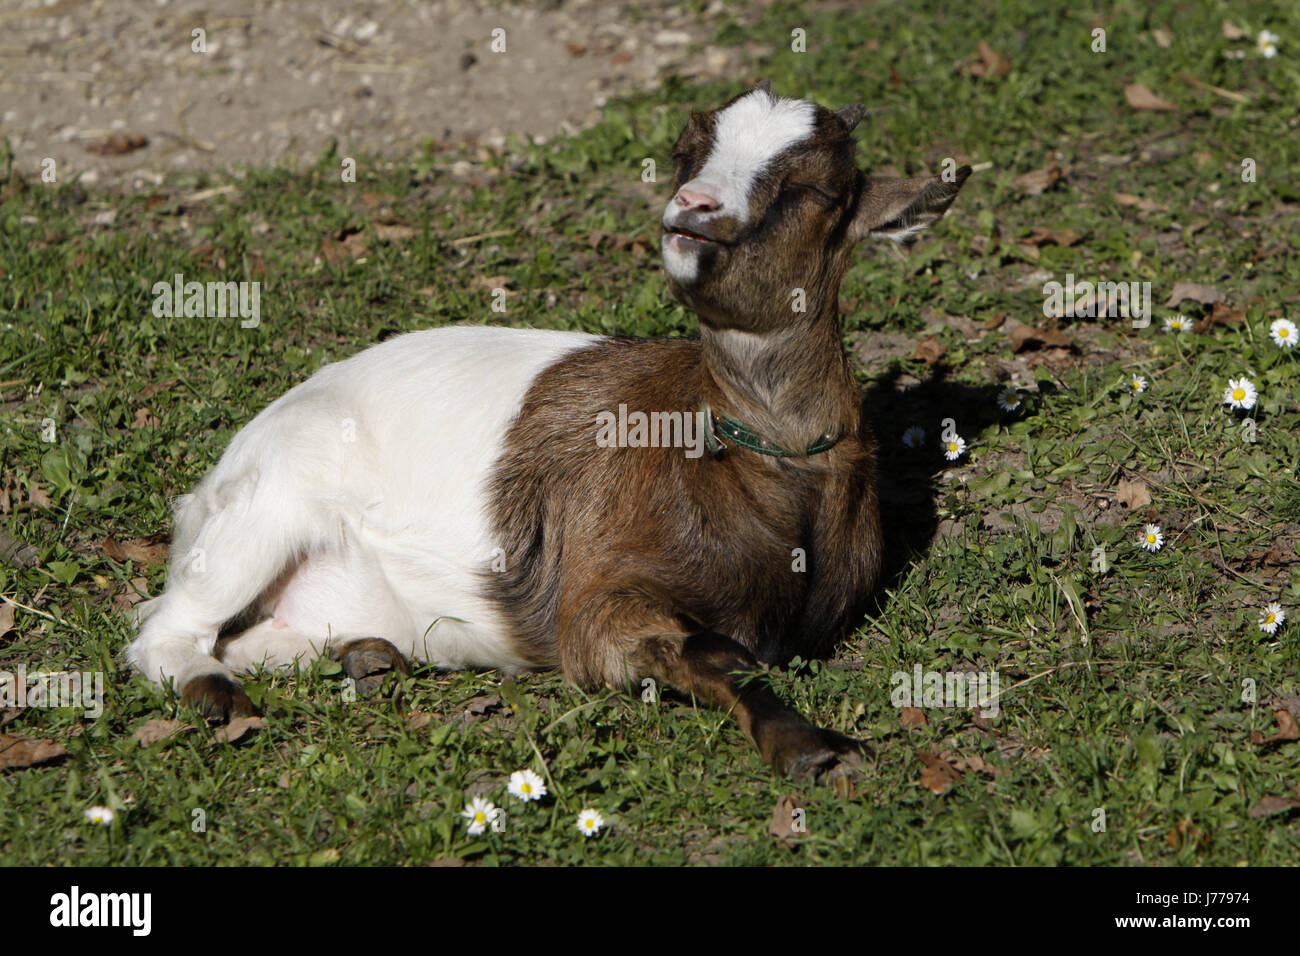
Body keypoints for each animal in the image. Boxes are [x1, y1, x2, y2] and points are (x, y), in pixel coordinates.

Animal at [128, 85, 970, 779]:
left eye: (817, 188)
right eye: (685, 151)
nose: (693, 206)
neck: (750, 470)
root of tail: (210, 484)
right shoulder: (597, 603)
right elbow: (714, 650)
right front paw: (816, 749)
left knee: (250, 640)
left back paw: (364, 659)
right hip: (262, 514)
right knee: (166, 633)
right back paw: (218, 694)